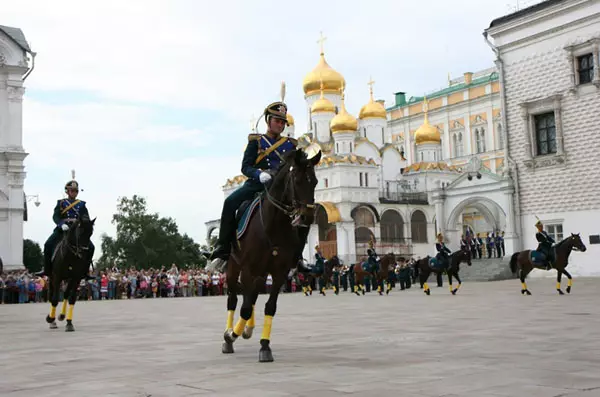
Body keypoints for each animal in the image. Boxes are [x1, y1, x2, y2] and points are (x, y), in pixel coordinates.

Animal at [221, 148, 324, 362]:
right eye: (296, 180)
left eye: (315, 181)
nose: (307, 217)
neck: (272, 225)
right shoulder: (248, 269)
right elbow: (244, 308)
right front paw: (231, 335)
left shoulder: (279, 273)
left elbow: (269, 307)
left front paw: (264, 346)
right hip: (234, 268)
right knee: (234, 300)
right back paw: (229, 336)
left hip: (260, 274)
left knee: (251, 297)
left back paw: (247, 329)